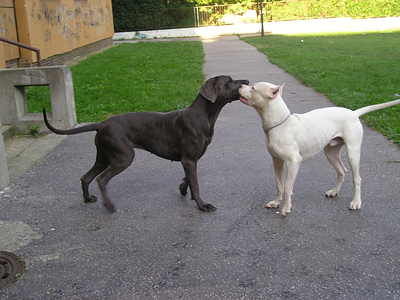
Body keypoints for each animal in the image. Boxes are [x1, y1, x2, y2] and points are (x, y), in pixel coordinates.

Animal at [239, 82, 398, 216]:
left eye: (253, 88)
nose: (240, 84)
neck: (280, 123)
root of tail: (353, 113)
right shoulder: (277, 161)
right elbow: (279, 185)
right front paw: (276, 202)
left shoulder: (293, 162)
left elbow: (288, 187)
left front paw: (286, 207)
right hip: (330, 152)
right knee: (341, 171)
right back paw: (334, 192)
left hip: (353, 152)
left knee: (357, 178)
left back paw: (356, 202)